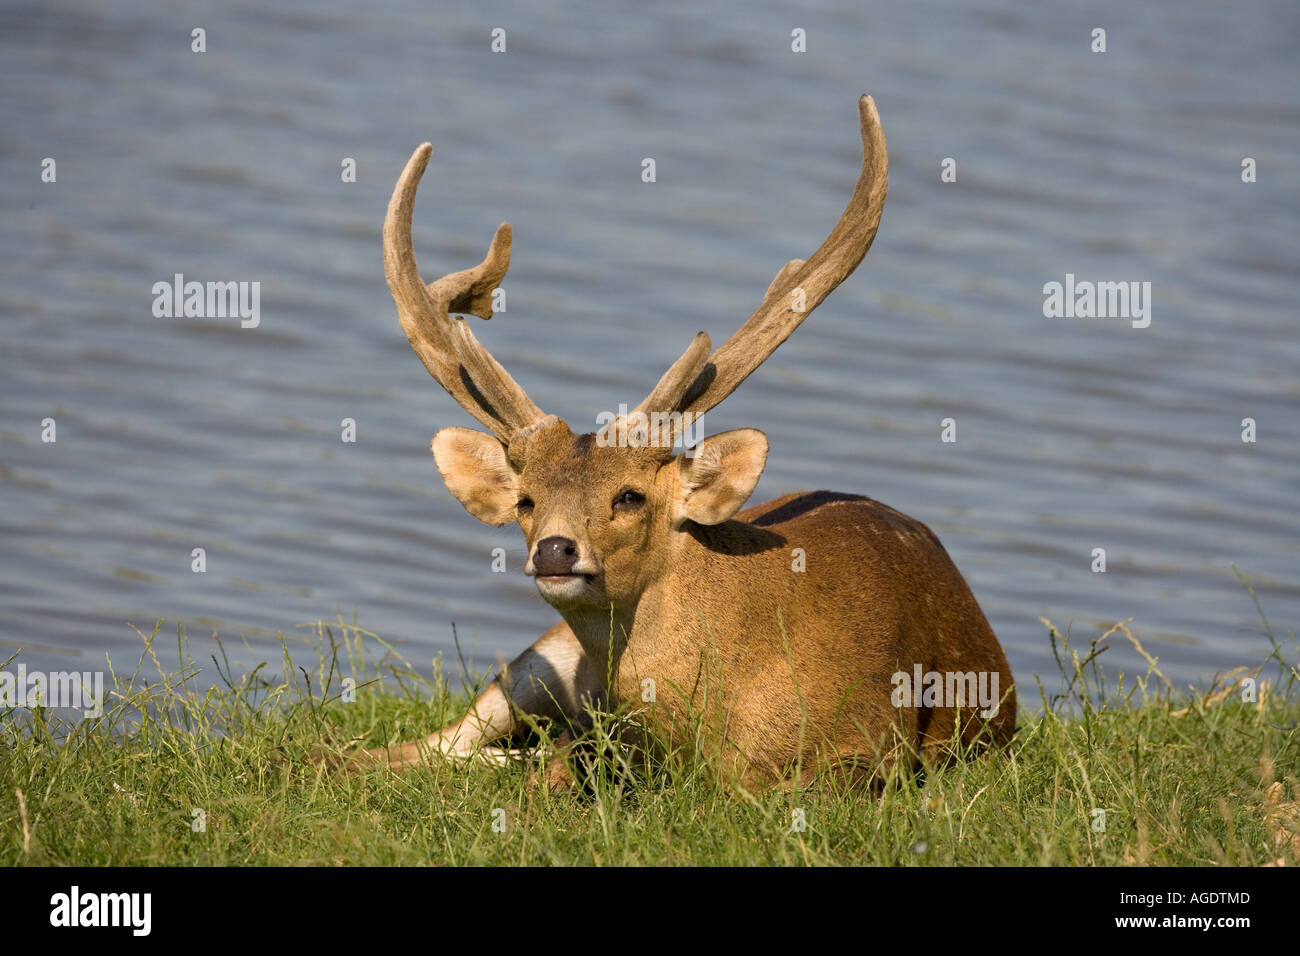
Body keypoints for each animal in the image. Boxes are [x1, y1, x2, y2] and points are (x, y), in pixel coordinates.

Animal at [355, 95, 1016, 790]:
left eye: (630, 496)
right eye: (526, 501)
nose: (556, 550)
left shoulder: (871, 748)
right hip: (537, 659)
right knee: (412, 749)